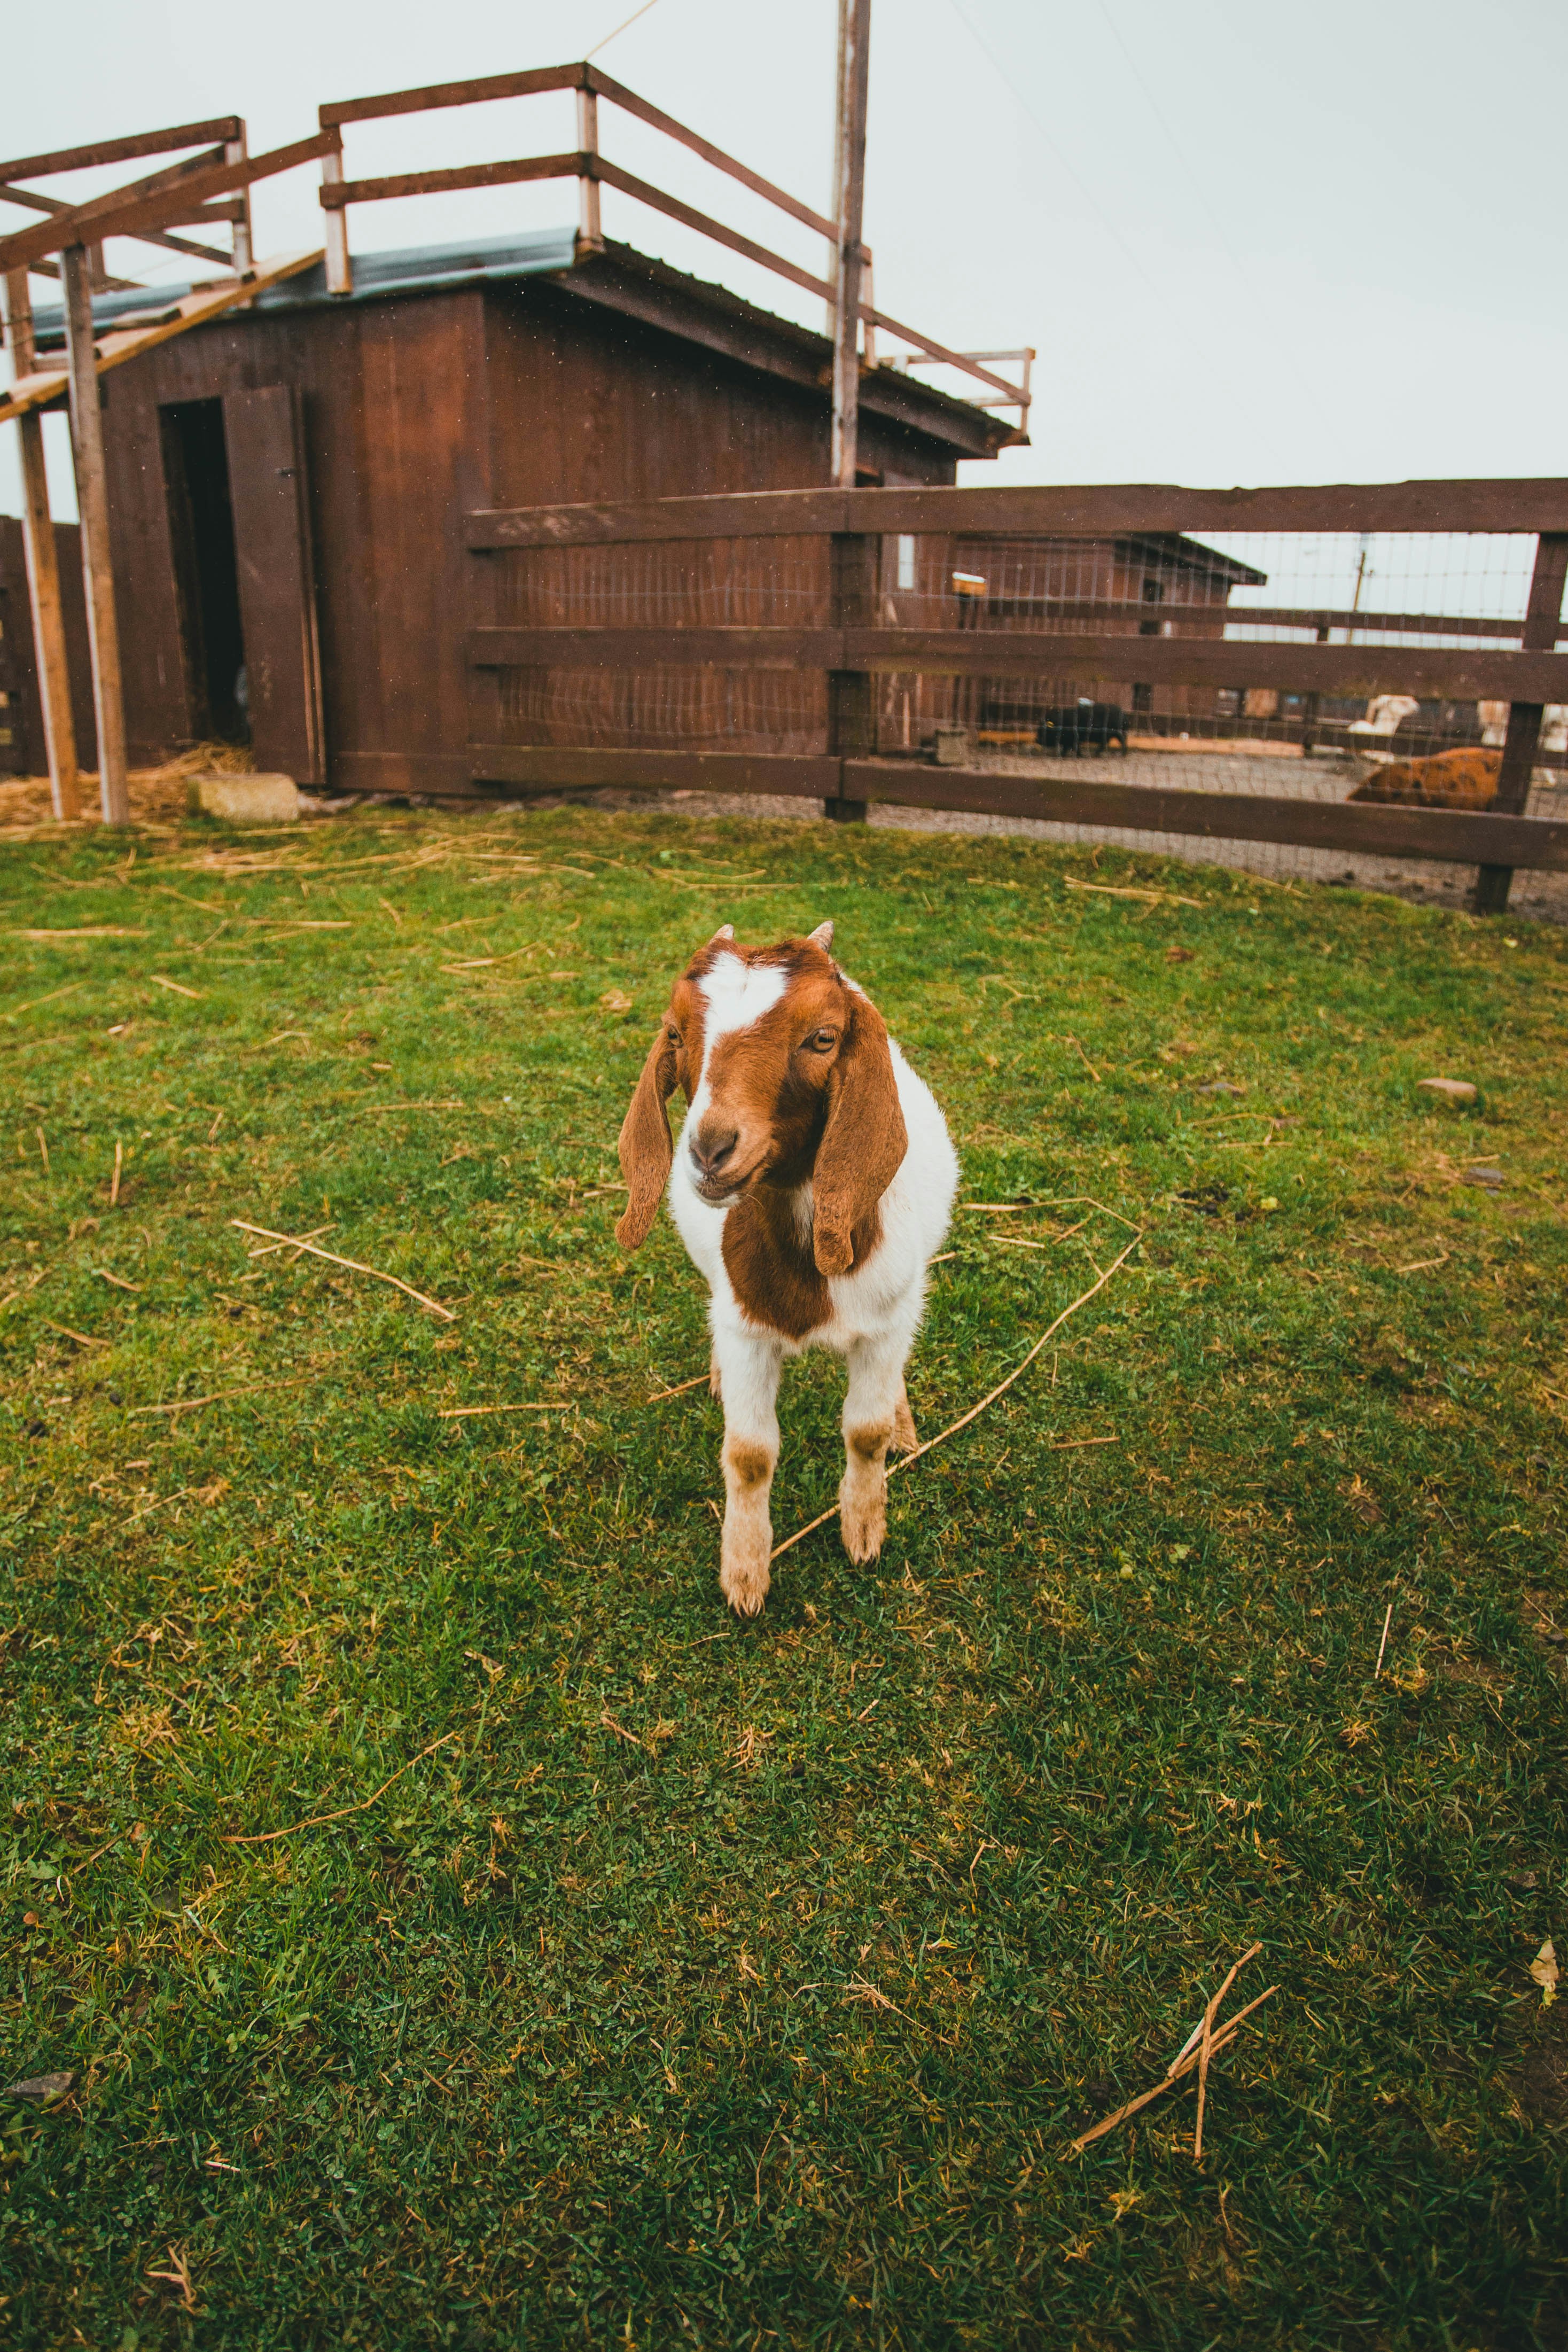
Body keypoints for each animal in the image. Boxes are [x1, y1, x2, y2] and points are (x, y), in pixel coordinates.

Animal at [615, 921, 958, 1617]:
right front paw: (745, 1574)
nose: (710, 1149)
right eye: (675, 1033)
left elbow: (866, 1431)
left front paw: (863, 1530)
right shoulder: (745, 1326)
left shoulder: (886, 1322)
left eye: (822, 1037)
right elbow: (749, 1455)